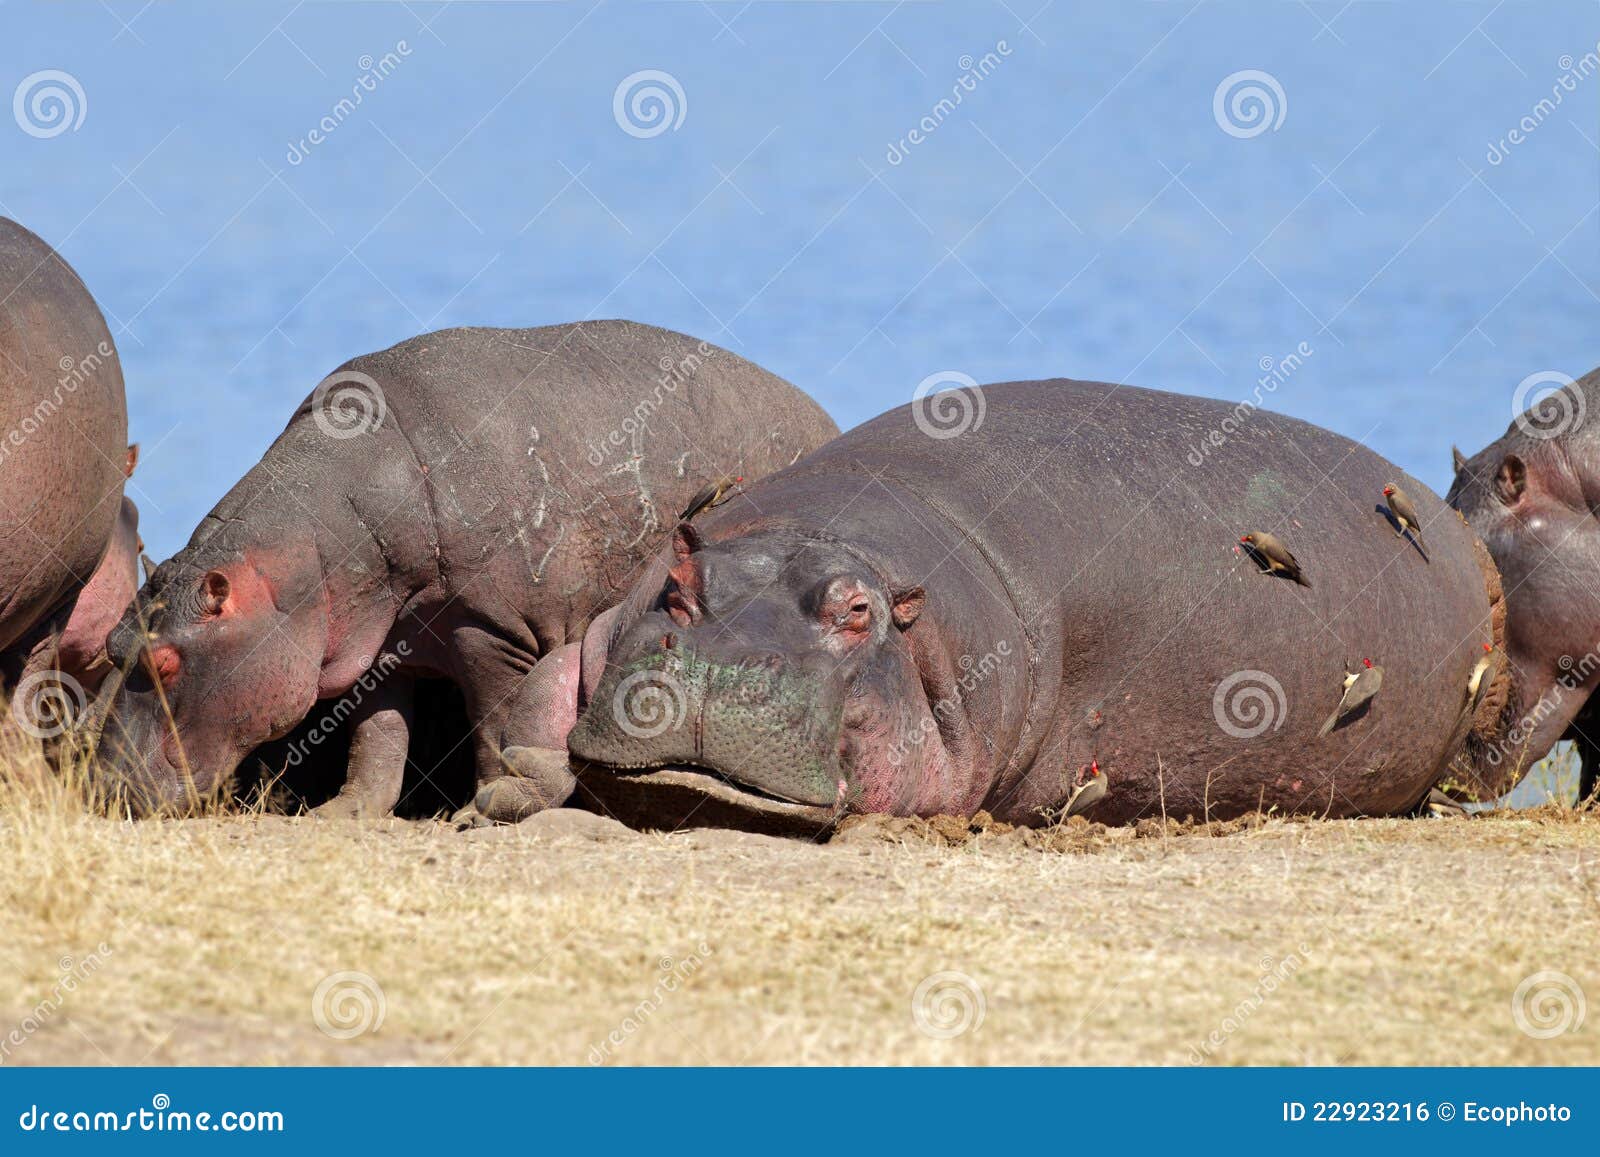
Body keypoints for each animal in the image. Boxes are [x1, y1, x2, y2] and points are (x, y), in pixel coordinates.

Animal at [89, 321, 837, 816]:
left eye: (164, 663)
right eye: (111, 645)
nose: (101, 785)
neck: (304, 563)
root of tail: (823, 415)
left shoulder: (490, 629)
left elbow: (494, 721)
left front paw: (479, 805)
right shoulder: (383, 641)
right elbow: (377, 734)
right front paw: (347, 814)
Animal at [513, 379, 1501, 831]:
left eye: (859, 612)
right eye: (680, 586)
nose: (725, 666)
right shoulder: (608, 622)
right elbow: (547, 682)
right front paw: (513, 787)